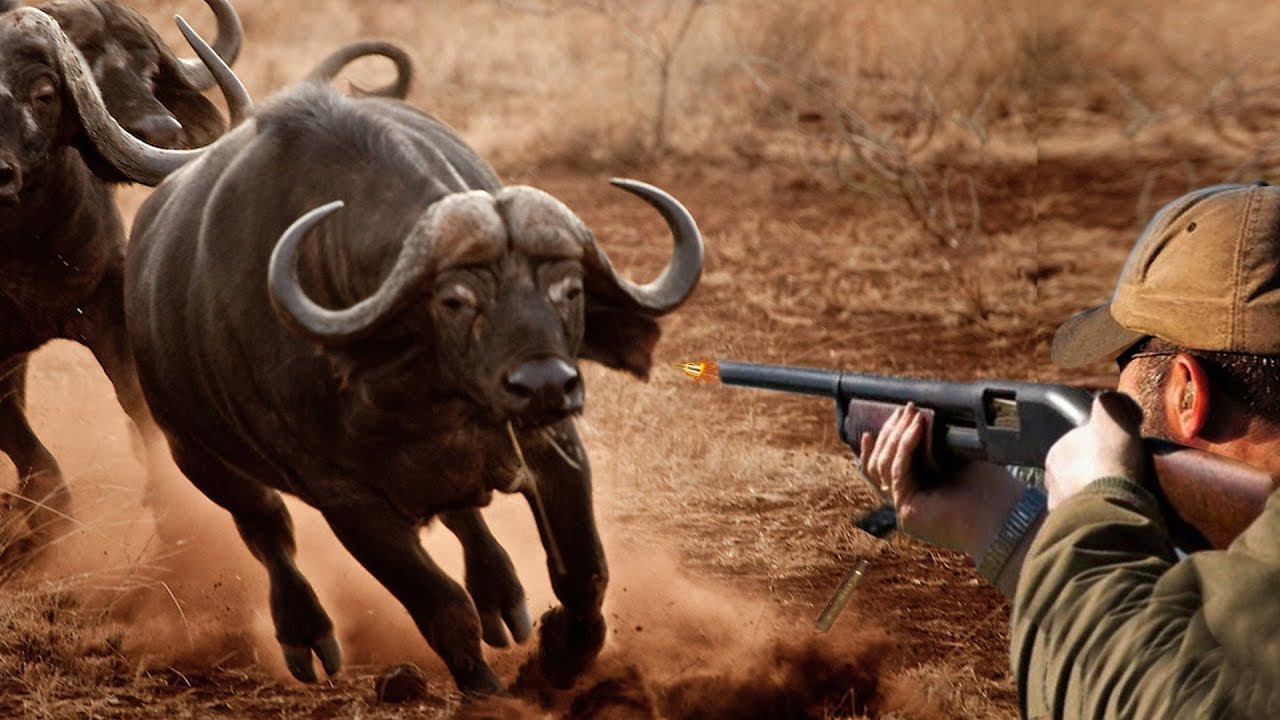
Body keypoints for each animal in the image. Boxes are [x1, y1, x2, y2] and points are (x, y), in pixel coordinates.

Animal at [0, 5, 245, 557]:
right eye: (86, 61)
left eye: (44, 94)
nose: (162, 128)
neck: (16, 247)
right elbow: (34, 461)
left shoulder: (106, 302)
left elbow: (142, 411)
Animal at [124, 78, 703, 694]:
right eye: (454, 301)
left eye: (569, 290)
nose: (546, 384)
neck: (429, 397)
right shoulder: (347, 502)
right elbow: (442, 608)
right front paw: (489, 689)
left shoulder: (554, 448)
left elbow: (585, 573)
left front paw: (561, 656)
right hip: (194, 457)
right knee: (267, 531)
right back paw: (306, 634)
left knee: (461, 516)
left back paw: (503, 599)